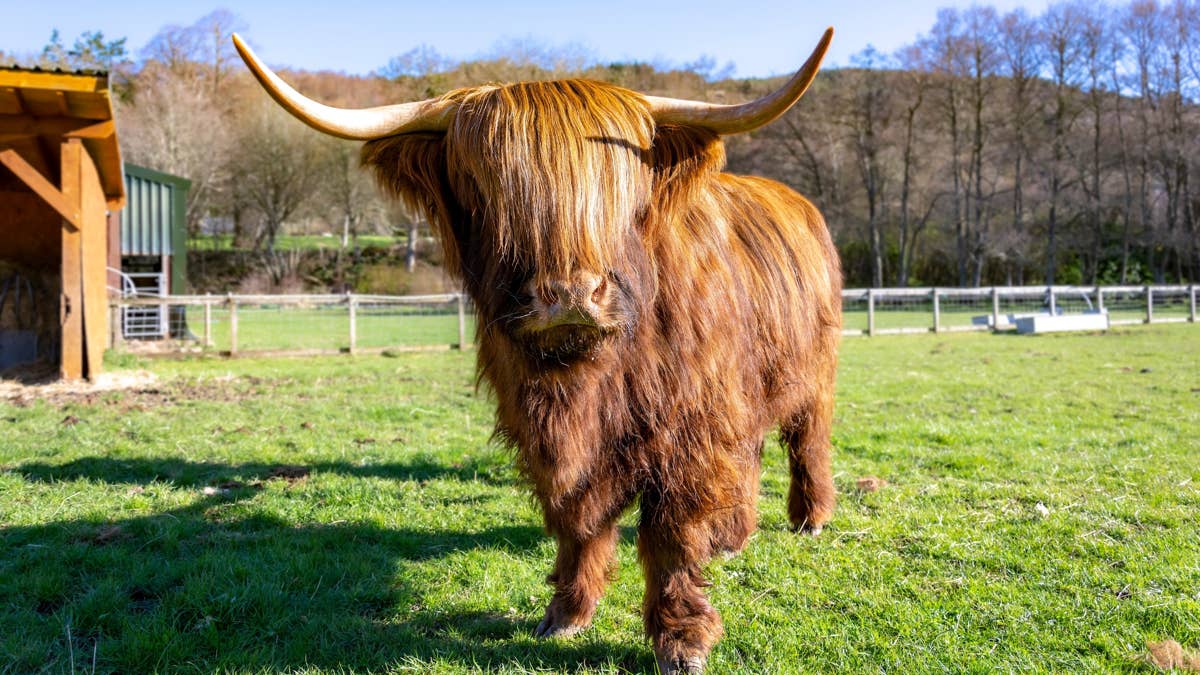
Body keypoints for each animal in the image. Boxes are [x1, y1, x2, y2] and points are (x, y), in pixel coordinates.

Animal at [234, 29, 841, 674]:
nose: (570, 294)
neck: (590, 379)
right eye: (483, 183)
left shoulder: (691, 426)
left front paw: (682, 641)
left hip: (812, 376)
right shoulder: (545, 429)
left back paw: (808, 520)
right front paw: (567, 613)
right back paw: (732, 536)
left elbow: (672, 533)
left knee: (806, 441)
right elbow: (576, 516)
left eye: (621, 183)